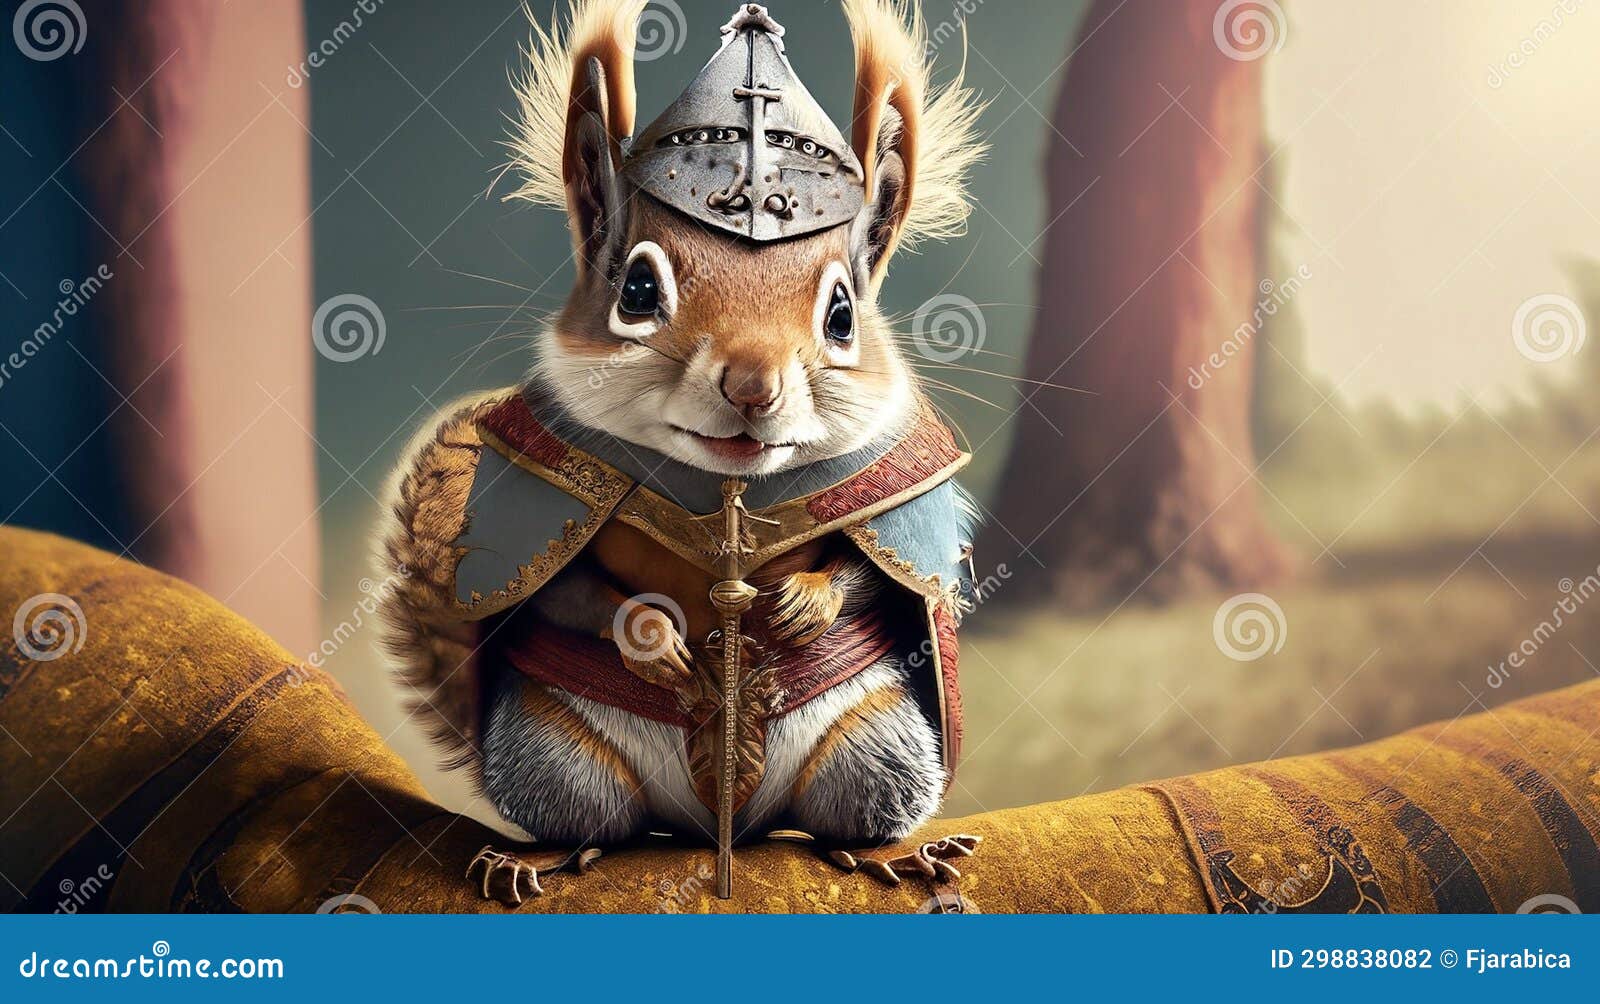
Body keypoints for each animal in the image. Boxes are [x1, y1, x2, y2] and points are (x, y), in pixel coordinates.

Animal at [376, 0, 987, 905]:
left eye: (843, 314)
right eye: (637, 290)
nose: (752, 386)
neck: (726, 491)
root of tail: (721, 828)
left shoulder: (899, 494)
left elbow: (882, 577)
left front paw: (804, 603)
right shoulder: (545, 500)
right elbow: (561, 594)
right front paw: (654, 640)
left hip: (878, 746)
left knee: (850, 816)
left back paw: (889, 854)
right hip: (554, 755)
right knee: (596, 823)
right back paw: (536, 856)